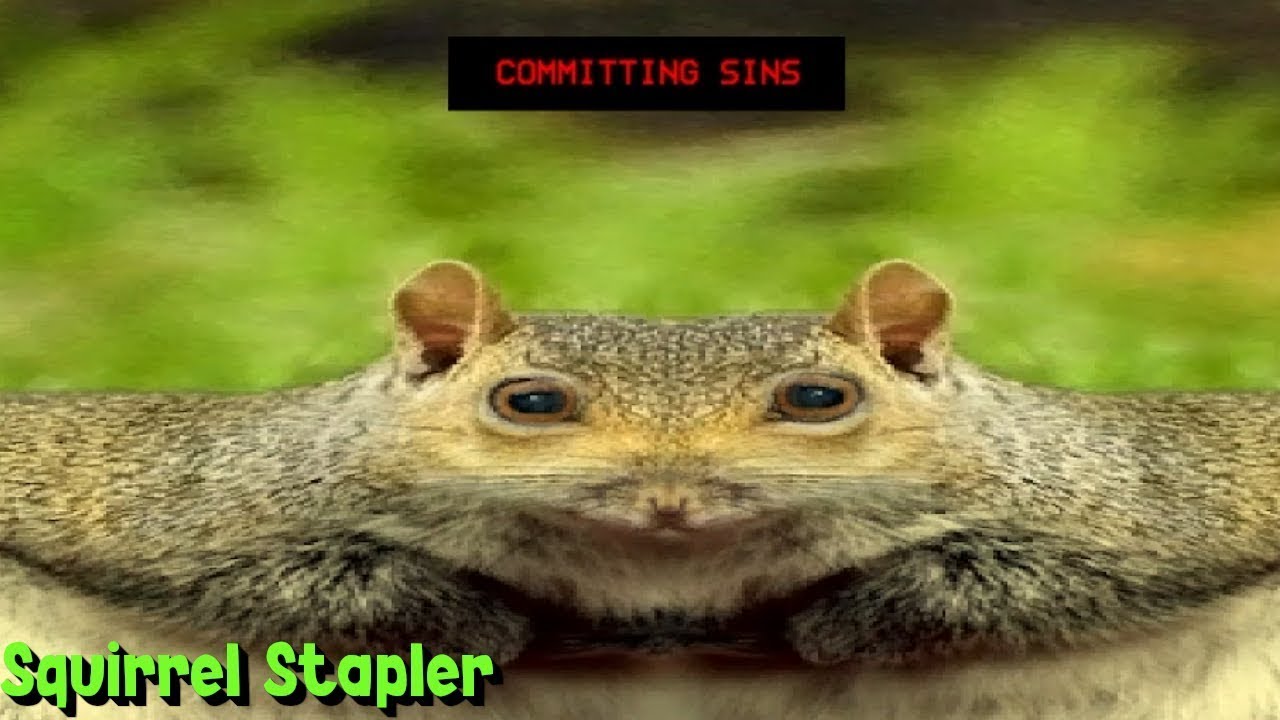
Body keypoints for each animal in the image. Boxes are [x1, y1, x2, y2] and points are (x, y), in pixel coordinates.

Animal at [3, 257, 1280, 720]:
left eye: (818, 398)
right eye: (528, 401)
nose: (670, 497)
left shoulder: (1133, 507)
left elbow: (1009, 583)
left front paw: (823, 624)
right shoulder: (197, 509)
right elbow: (317, 589)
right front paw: (500, 622)